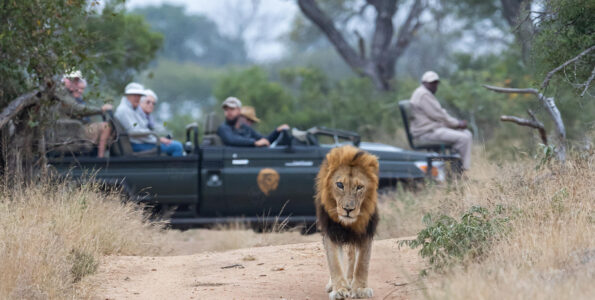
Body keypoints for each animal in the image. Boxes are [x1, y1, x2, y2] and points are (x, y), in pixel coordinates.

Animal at [314, 144, 380, 298]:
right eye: (339, 185)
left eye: (360, 187)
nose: (348, 209)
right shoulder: (331, 232)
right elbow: (334, 262)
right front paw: (339, 289)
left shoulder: (366, 231)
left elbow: (362, 263)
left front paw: (360, 289)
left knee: (351, 255)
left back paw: (350, 280)